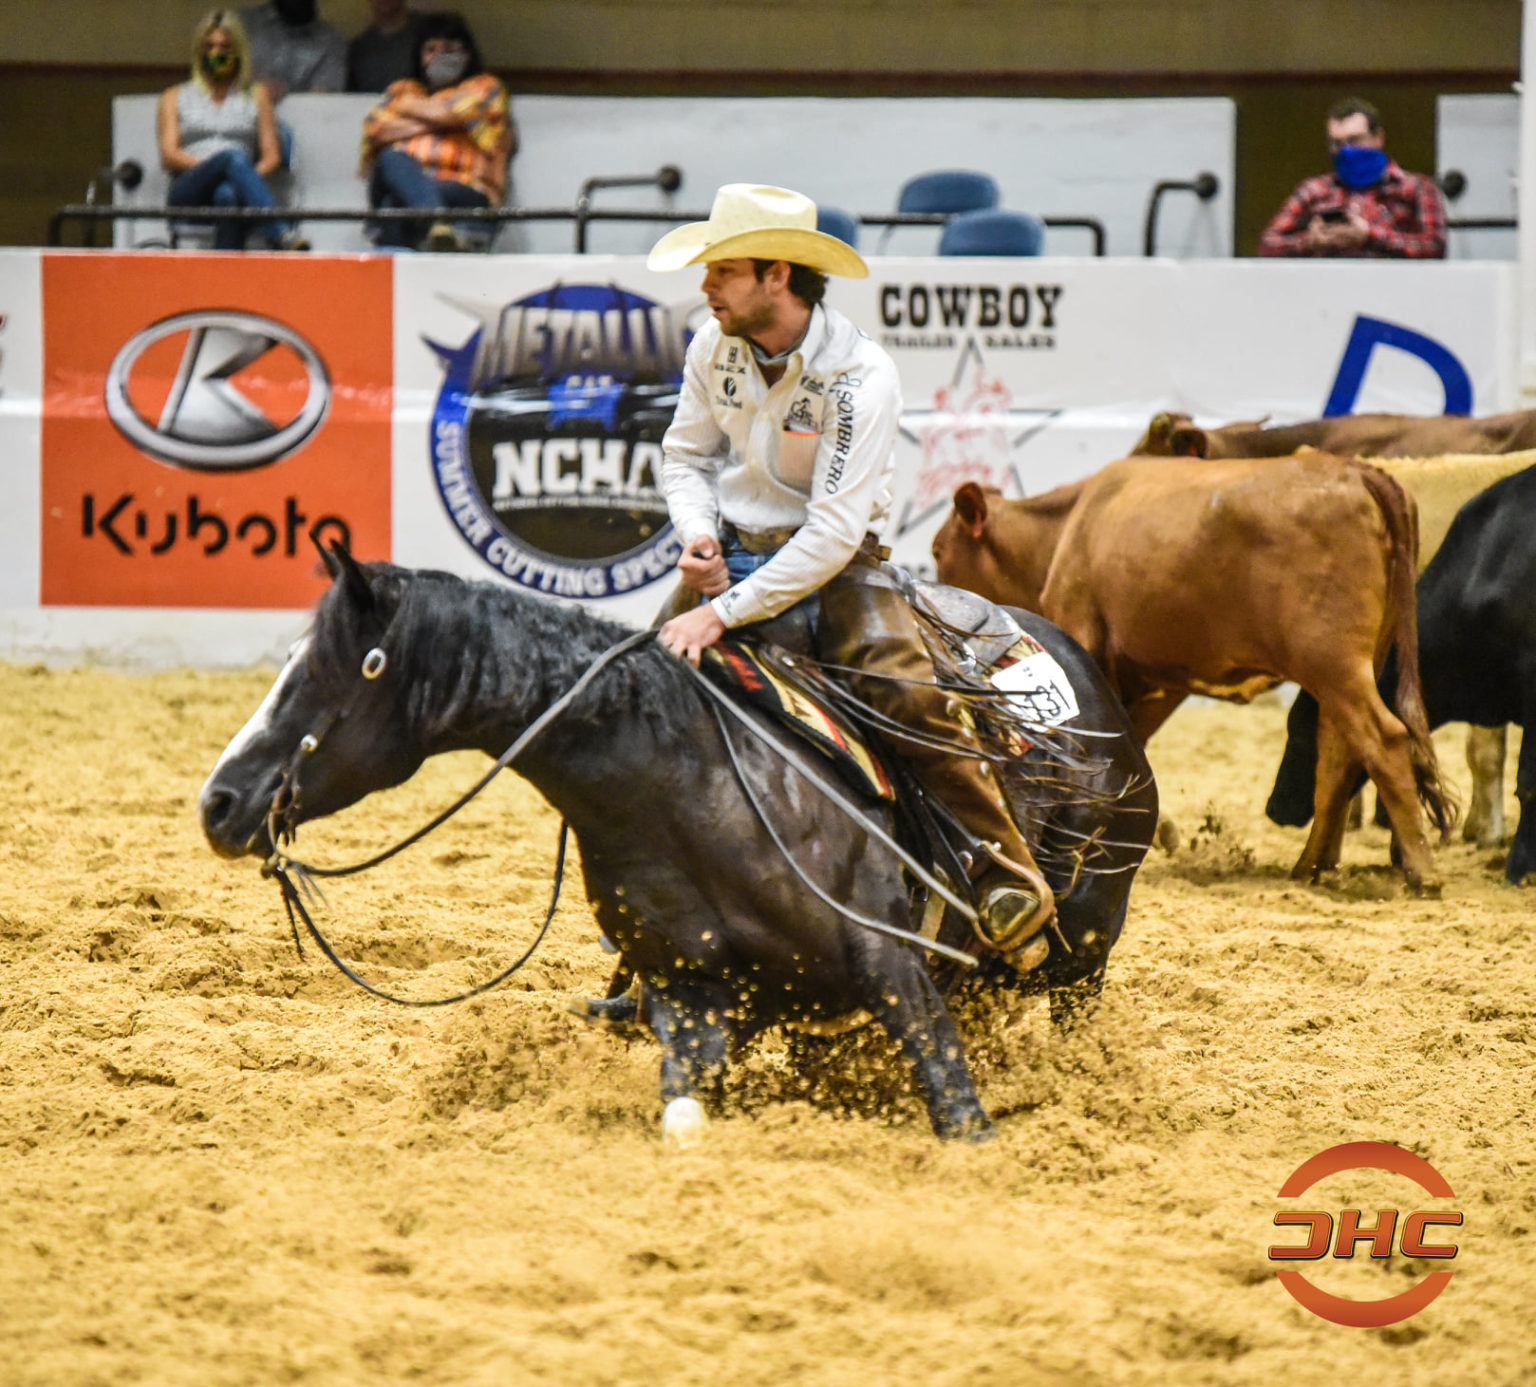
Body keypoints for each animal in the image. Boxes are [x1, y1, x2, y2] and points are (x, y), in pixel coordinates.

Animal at [199, 543, 1157, 1143]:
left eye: (356, 665)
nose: (221, 800)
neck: (684, 784)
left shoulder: (895, 967)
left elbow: (959, 1113)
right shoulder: (696, 999)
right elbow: (683, 1117)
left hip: (1085, 940)